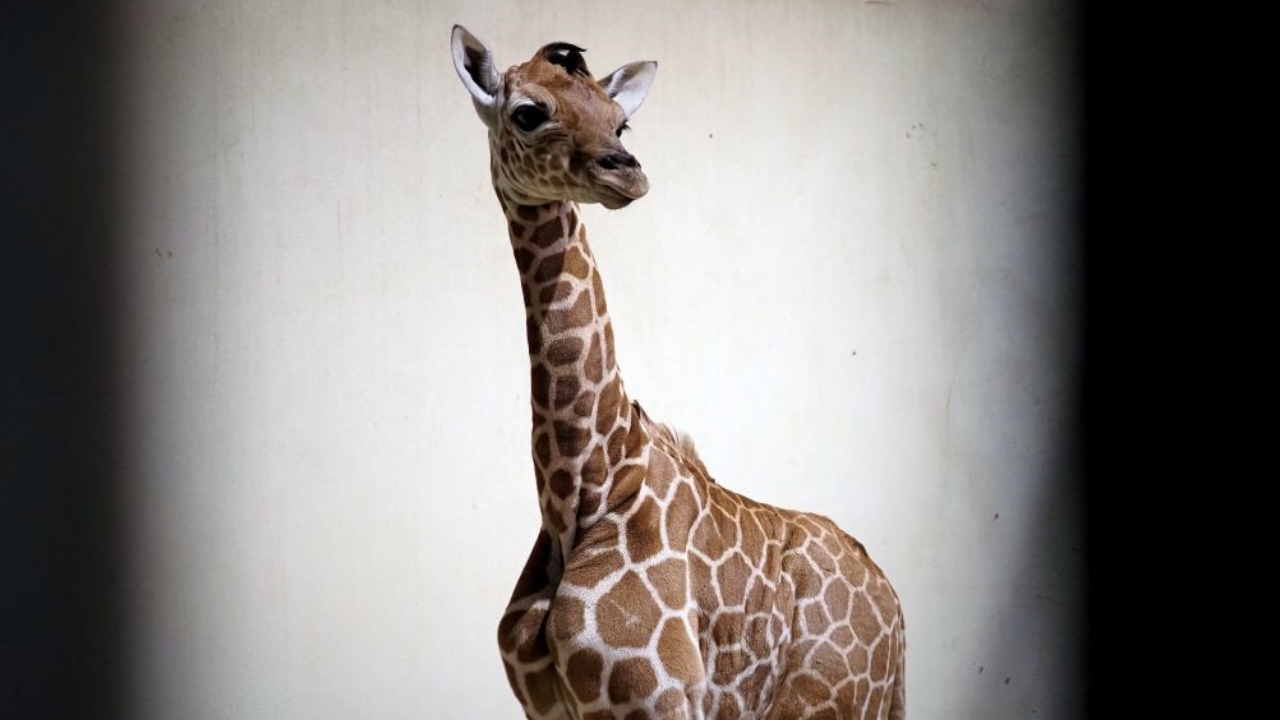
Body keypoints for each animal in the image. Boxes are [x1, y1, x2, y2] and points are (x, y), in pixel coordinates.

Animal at [450, 25, 906, 720]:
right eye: (528, 112)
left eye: (621, 122)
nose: (627, 172)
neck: (578, 493)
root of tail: (896, 610)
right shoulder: (549, 708)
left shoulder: (660, 699)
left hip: (823, 705)